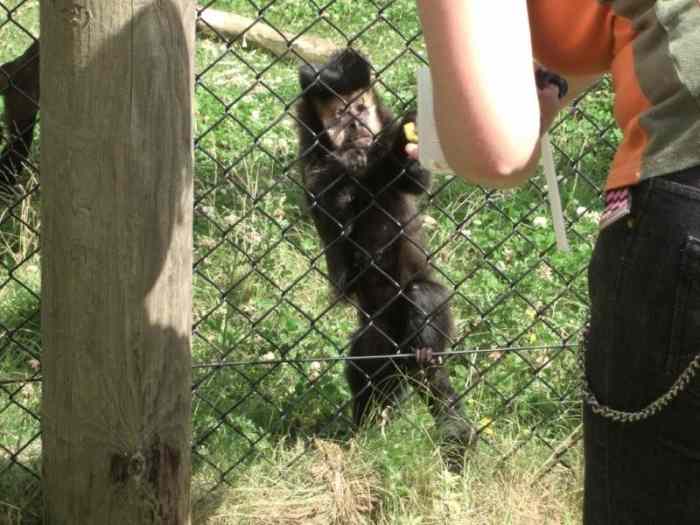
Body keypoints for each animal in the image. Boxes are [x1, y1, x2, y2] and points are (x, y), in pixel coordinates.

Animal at [295, 48, 476, 464]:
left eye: (361, 108)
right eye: (339, 116)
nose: (356, 125)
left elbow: (412, 178)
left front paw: (402, 148)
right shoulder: (311, 160)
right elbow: (328, 212)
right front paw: (348, 170)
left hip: (431, 318)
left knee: (424, 302)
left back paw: (426, 356)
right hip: (376, 329)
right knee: (363, 366)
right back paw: (362, 431)